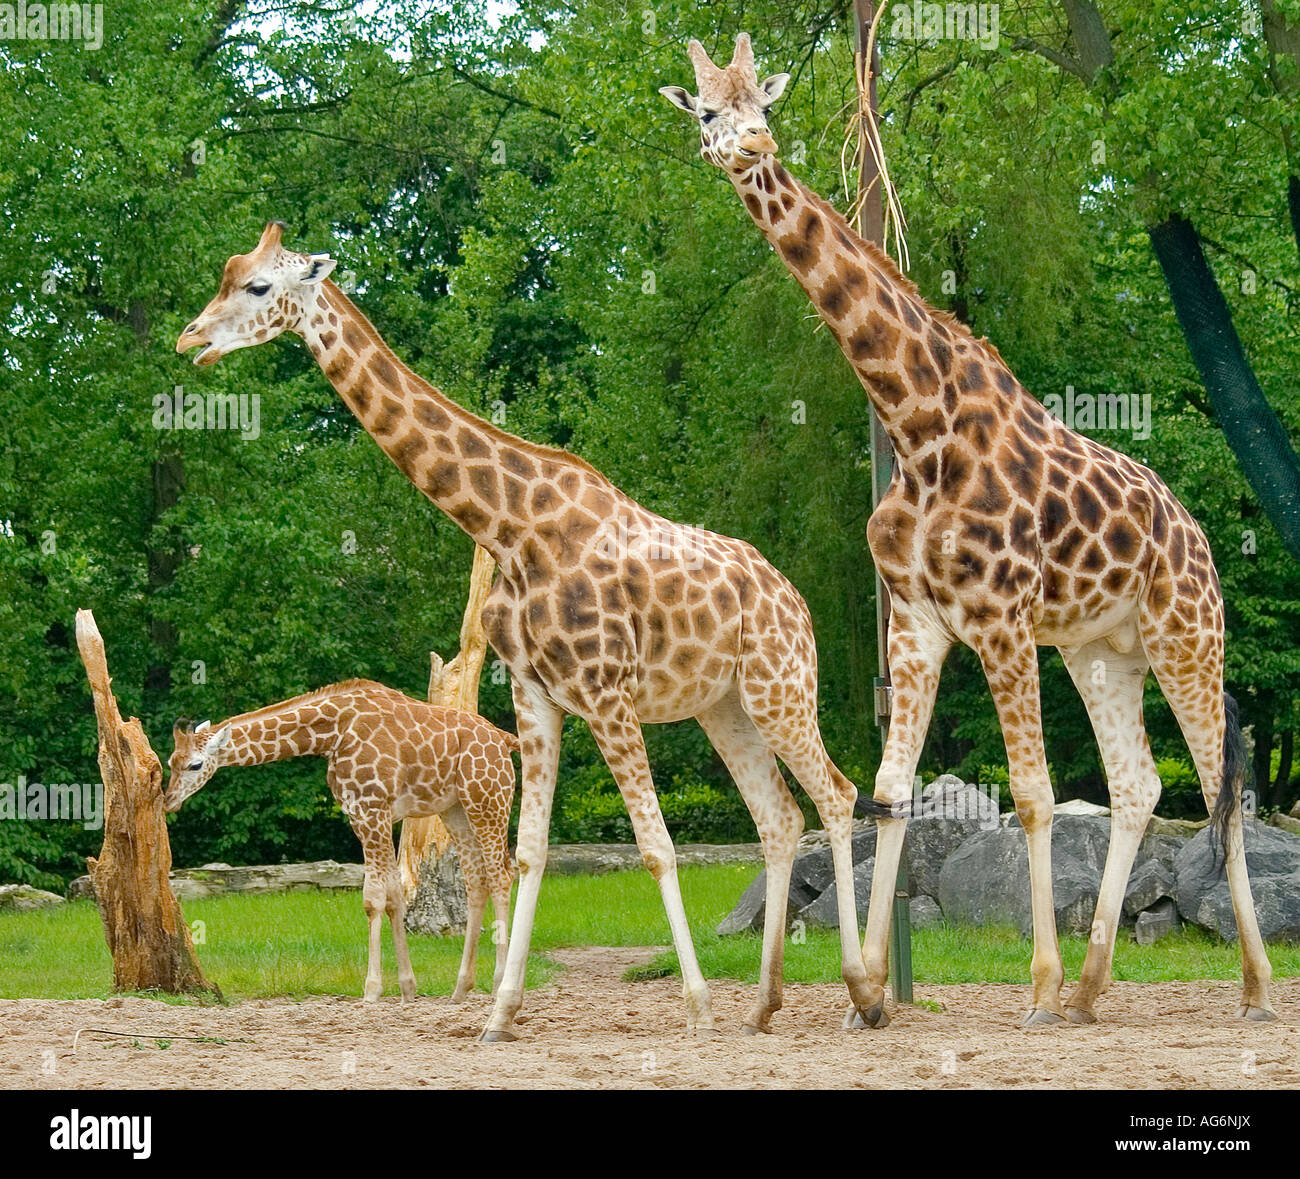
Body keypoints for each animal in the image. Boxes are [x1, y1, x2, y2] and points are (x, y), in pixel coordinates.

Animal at [163, 679, 517, 1004]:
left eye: (195, 764)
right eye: (170, 762)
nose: (168, 801)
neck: (331, 734)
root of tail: (504, 739)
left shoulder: (372, 809)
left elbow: (373, 898)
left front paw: (372, 990)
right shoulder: (362, 814)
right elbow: (394, 896)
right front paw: (407, 988)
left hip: (488, 800)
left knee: (502, 876)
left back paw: (501, 984)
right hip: (455, 809)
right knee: (476, 880)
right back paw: (461, 988)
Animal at [661, 33, 1276, 1027]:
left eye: (765, 101)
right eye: (708, 110)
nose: (754, 145)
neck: (916, 422)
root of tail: (1195, 532)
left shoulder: (1001, 617)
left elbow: (1030, 794)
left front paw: (1037, 986)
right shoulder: (918, 621)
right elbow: (891, 787)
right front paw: (867, 991)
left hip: (1189, 634)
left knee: (1223, 790)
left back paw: (1250, 986)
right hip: (1102, 651)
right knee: (1139, 783)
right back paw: (1097, 987)